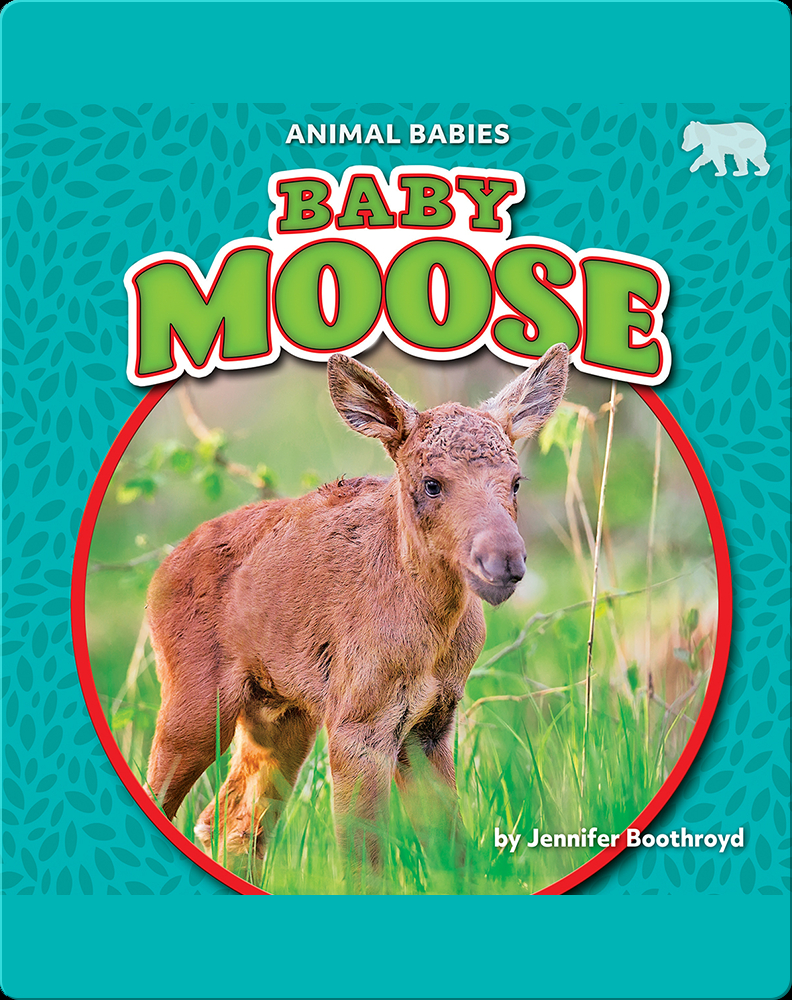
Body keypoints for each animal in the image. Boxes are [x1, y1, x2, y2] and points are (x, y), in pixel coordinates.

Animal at [145, 343, 569, 878]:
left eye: (515, 482)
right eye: (432, 483)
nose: (505, 559)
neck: (433, 634)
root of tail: (161, 570)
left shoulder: (431, 725)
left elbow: (451, 852)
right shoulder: (359, 723)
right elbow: (364, 861)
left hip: (280, 715)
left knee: (234, 819)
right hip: (196, 706)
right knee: (171, 796)